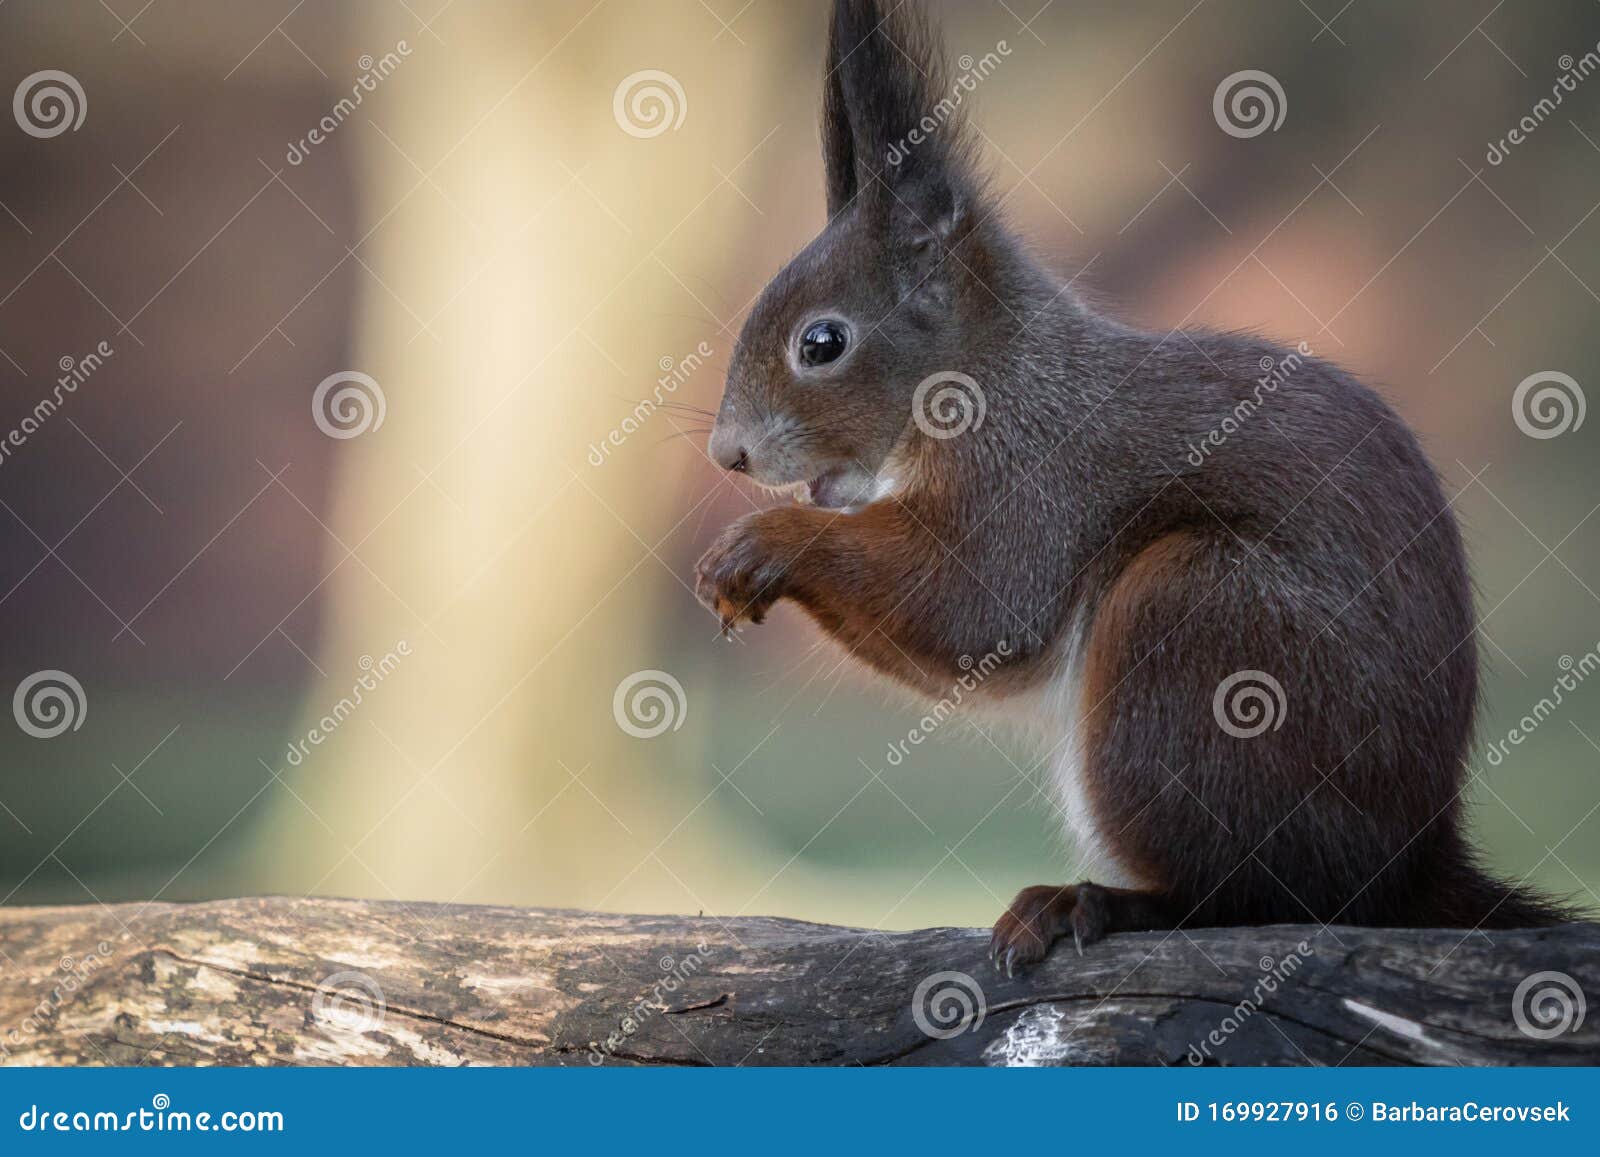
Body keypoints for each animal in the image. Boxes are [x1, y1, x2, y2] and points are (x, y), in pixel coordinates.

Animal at [694, 0, 1575, 971]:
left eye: (822, 343)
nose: (728, 454)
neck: (989, 379)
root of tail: (1410, 866)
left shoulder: (1039, 480)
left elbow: (975, 608)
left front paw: (760, 544)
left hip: (1199, 627)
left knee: (1258, 897)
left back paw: (1094, 901)